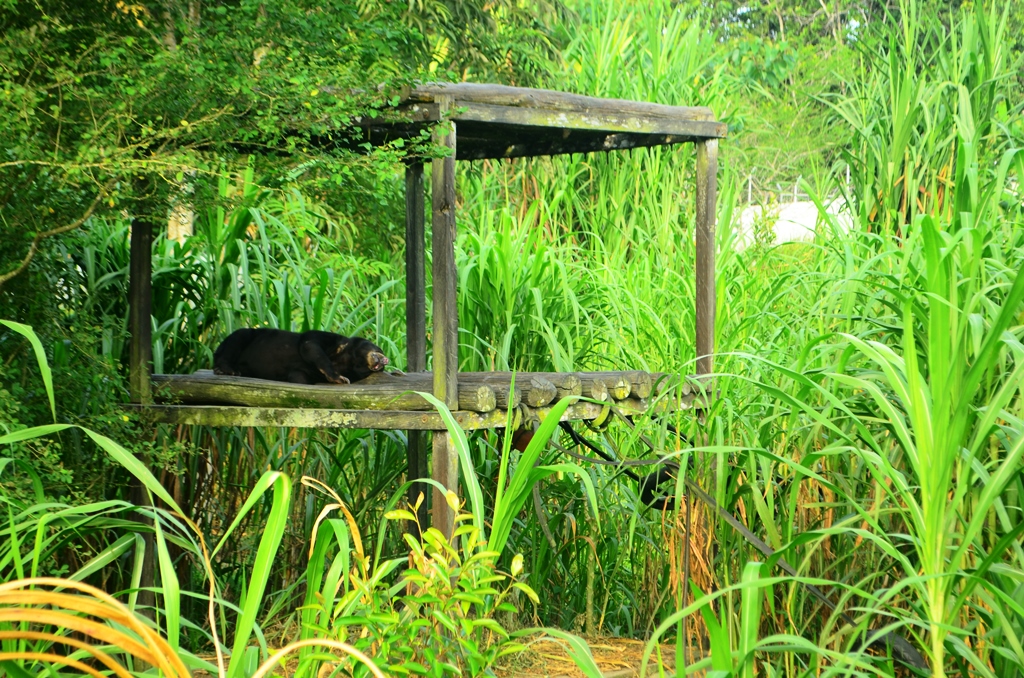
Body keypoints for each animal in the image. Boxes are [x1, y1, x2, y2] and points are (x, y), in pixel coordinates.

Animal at [213, 328, 391, 385]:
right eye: (379, 349)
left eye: (383, 367)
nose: (385, 360)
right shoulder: (329, 339)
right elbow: (310, 344)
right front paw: (339, 378)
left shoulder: (308, 373)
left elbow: (298, 376)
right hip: (244, 337)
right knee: (236, 340)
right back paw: (227, 369)